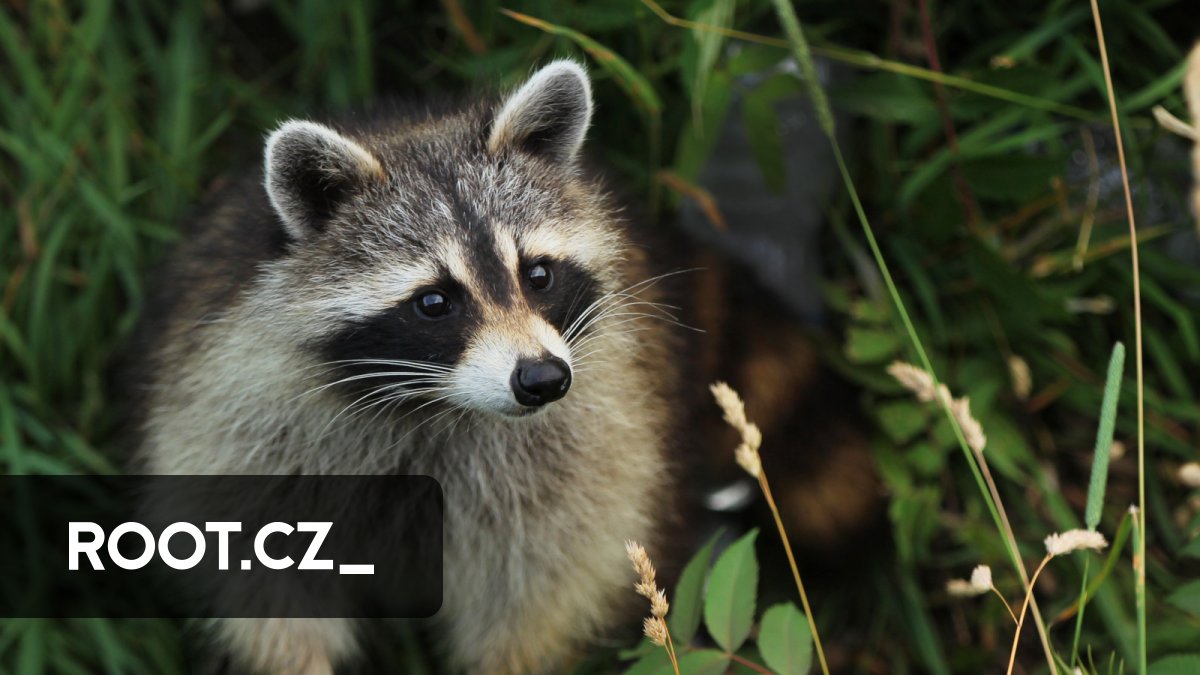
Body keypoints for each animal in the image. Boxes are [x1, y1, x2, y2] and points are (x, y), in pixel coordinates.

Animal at [130, 61, 880, 674]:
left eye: (538, 274)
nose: (543, 379)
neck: (436, 404)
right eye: (434, 302)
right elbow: (265, 581)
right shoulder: (237, 417)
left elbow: (541, 585)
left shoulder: (584, 447)